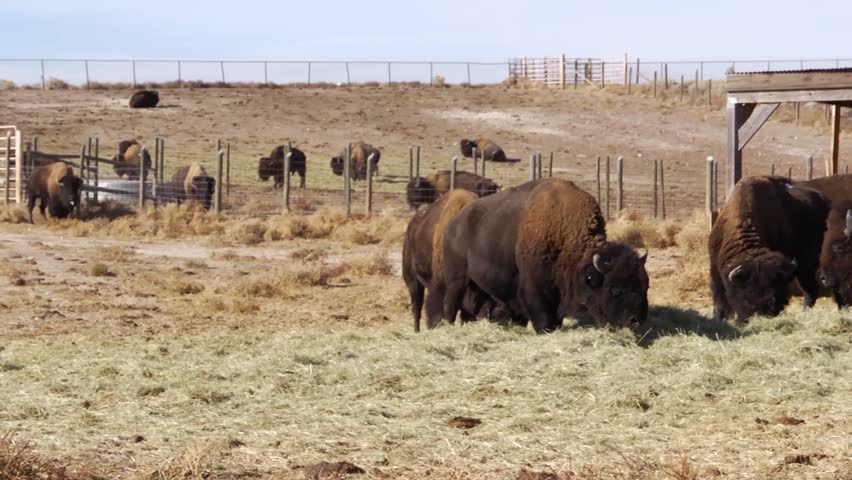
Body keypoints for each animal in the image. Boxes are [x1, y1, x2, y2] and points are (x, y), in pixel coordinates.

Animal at [442, 178, 648, 333]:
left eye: (645, 286)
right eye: (615, 289)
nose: (636, 320)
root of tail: (453, 224)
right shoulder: (535, 289)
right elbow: (543, 318)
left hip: (477, 285)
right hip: (456, 280)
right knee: (451, 304)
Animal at [708, 176, 828, 323]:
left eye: (776, 294)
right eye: (747, 298)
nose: (763, 315)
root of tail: (821, 198)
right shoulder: (715, 270)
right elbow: (719, 301)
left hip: (806, 264)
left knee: (810, 288)